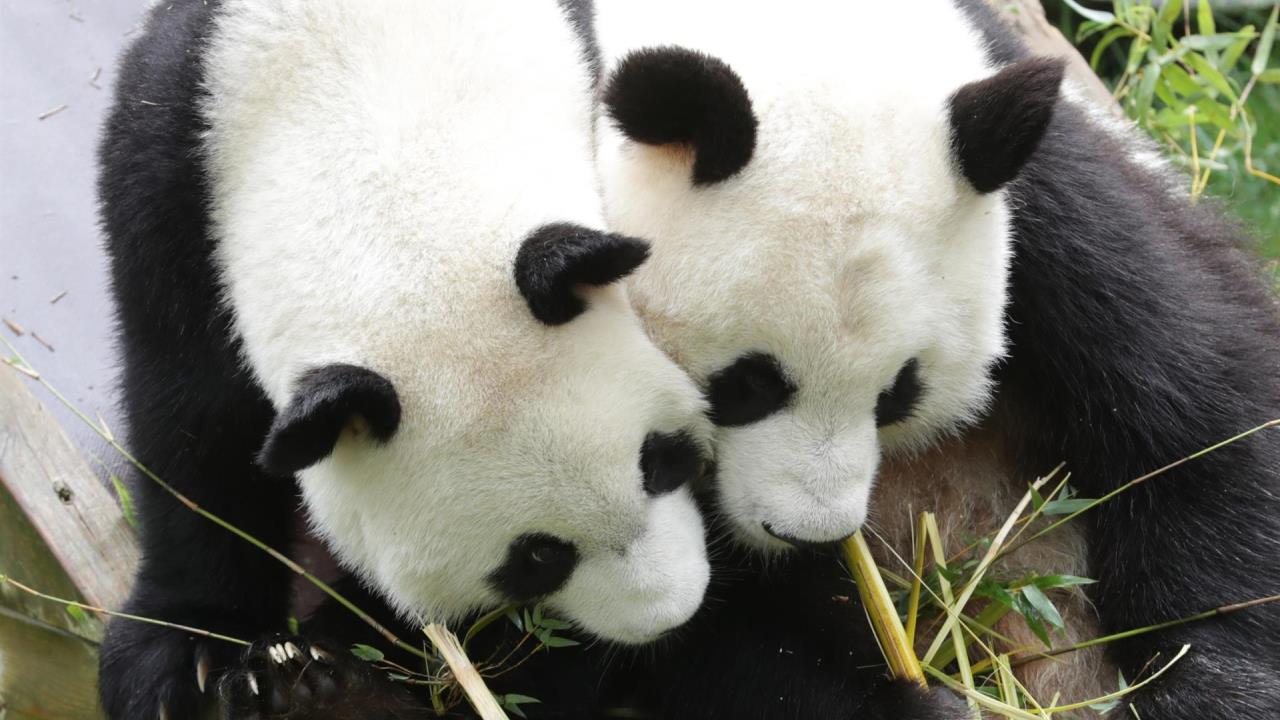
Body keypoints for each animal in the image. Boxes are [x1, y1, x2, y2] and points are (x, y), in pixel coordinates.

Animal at [96, 1, 715, 718]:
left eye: (657, 460)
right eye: (536, 557)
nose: (671, 614)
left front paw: (328, 675)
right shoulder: (179, 165)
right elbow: (192, 427)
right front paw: (194, 661)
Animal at [574, 0, 1280, 718]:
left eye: (898, 394)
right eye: (746, 385)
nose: (810, 533)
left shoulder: (1049, 202)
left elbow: (1194, 404)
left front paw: (1208, 686)